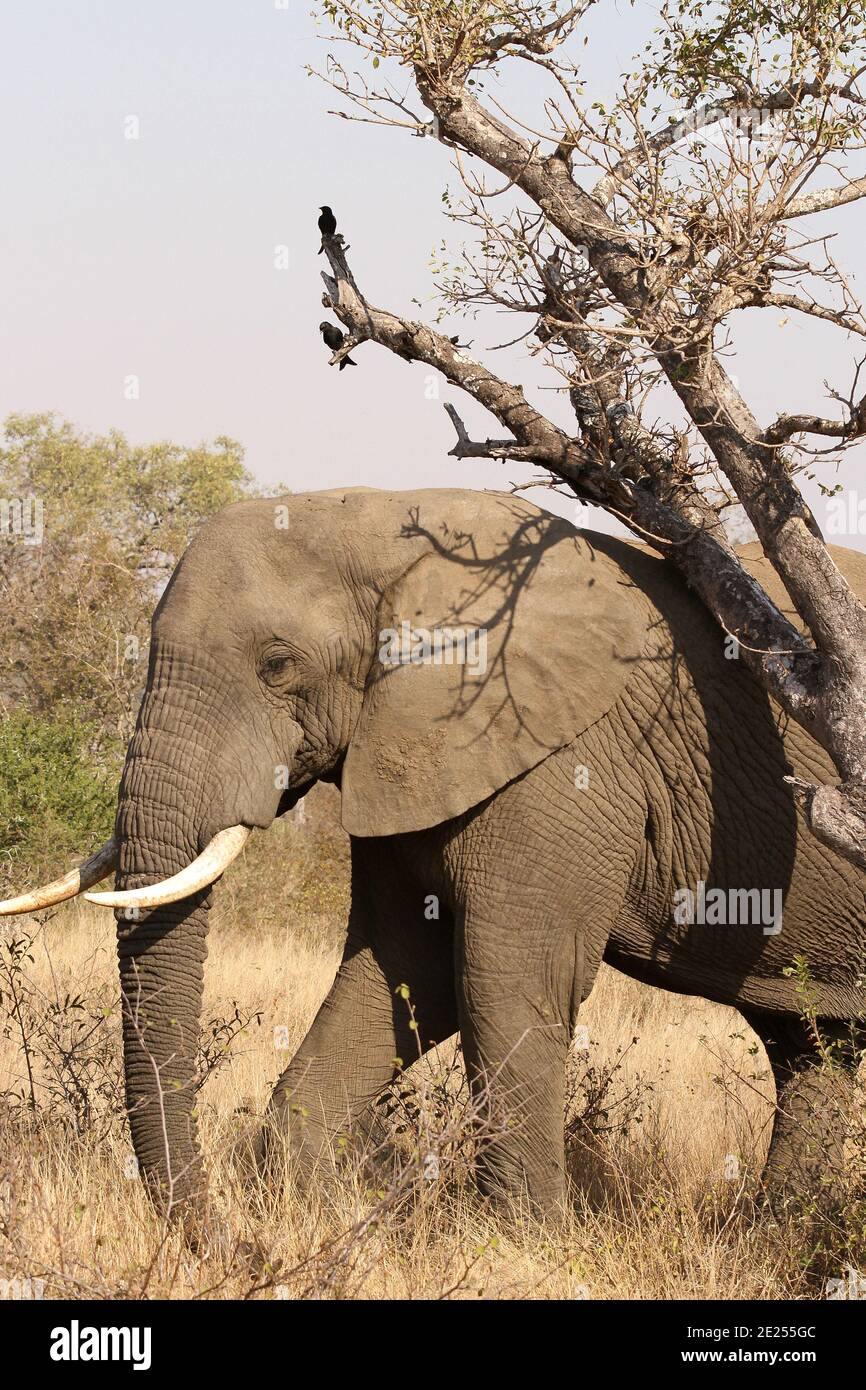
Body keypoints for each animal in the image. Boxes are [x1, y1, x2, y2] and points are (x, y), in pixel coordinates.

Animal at [3, 486, 865, 1222]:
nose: (210, 1233)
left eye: (277, 665)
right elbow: (403, 966)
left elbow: (507, 976)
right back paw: (779, 1226)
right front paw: (314, 1210)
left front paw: (525, 1245)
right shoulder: (407, 750)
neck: (388, 523)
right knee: (810, 1048)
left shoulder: (564, 755)